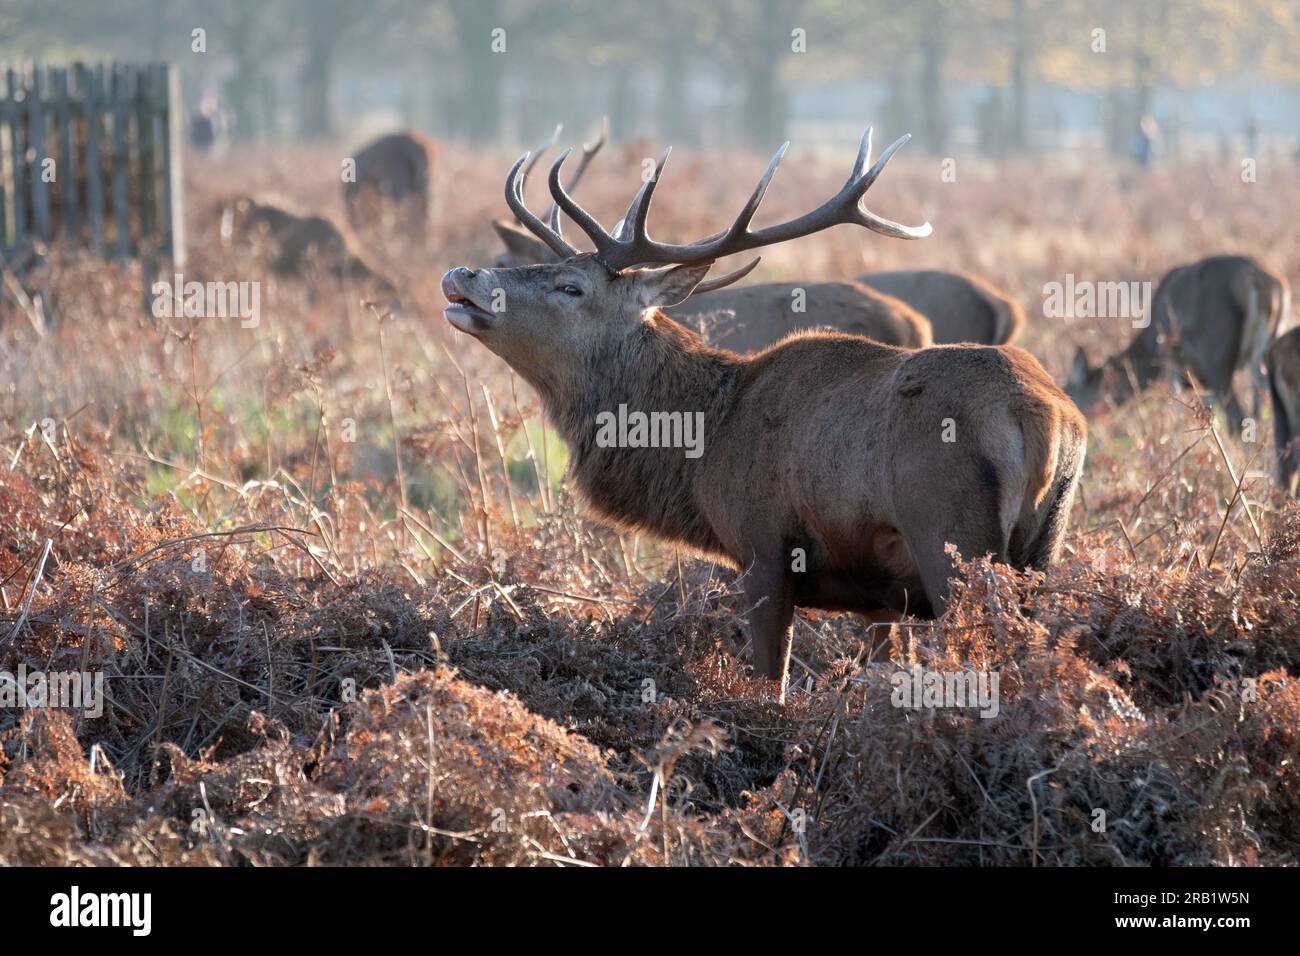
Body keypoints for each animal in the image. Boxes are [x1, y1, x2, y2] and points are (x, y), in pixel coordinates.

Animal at [1066, 255, 1292, 433]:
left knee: (1237, 416)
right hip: (1266, 351)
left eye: (1068, 390)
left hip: (1215, 356)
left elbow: (1173, 405)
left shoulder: (1170, 360)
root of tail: (1258, 282)